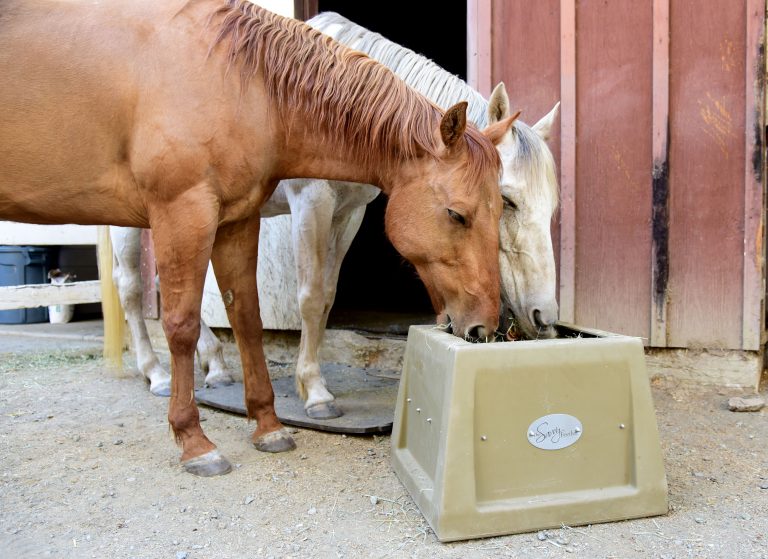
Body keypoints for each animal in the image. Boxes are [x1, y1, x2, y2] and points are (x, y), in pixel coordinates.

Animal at [0, 0, 515, 476]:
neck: (241, 81)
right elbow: (187, 323)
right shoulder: (198, 209)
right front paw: (197, 441)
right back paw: (156, 374)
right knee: (132, 290)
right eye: (457, 214)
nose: (483, 328)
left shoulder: (243, 219)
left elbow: (249, 317)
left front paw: (268, 426)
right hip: (137, 223)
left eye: (503, 207)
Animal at [110, 10, 561, 420]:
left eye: (552, 208)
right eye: (508, 200)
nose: (545, 316)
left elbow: (327, 295)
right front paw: (315, 394)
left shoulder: (349, 214)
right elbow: (309, 297)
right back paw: (156, 374)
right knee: (132, 286)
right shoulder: (312, 205)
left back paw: (216, 367)